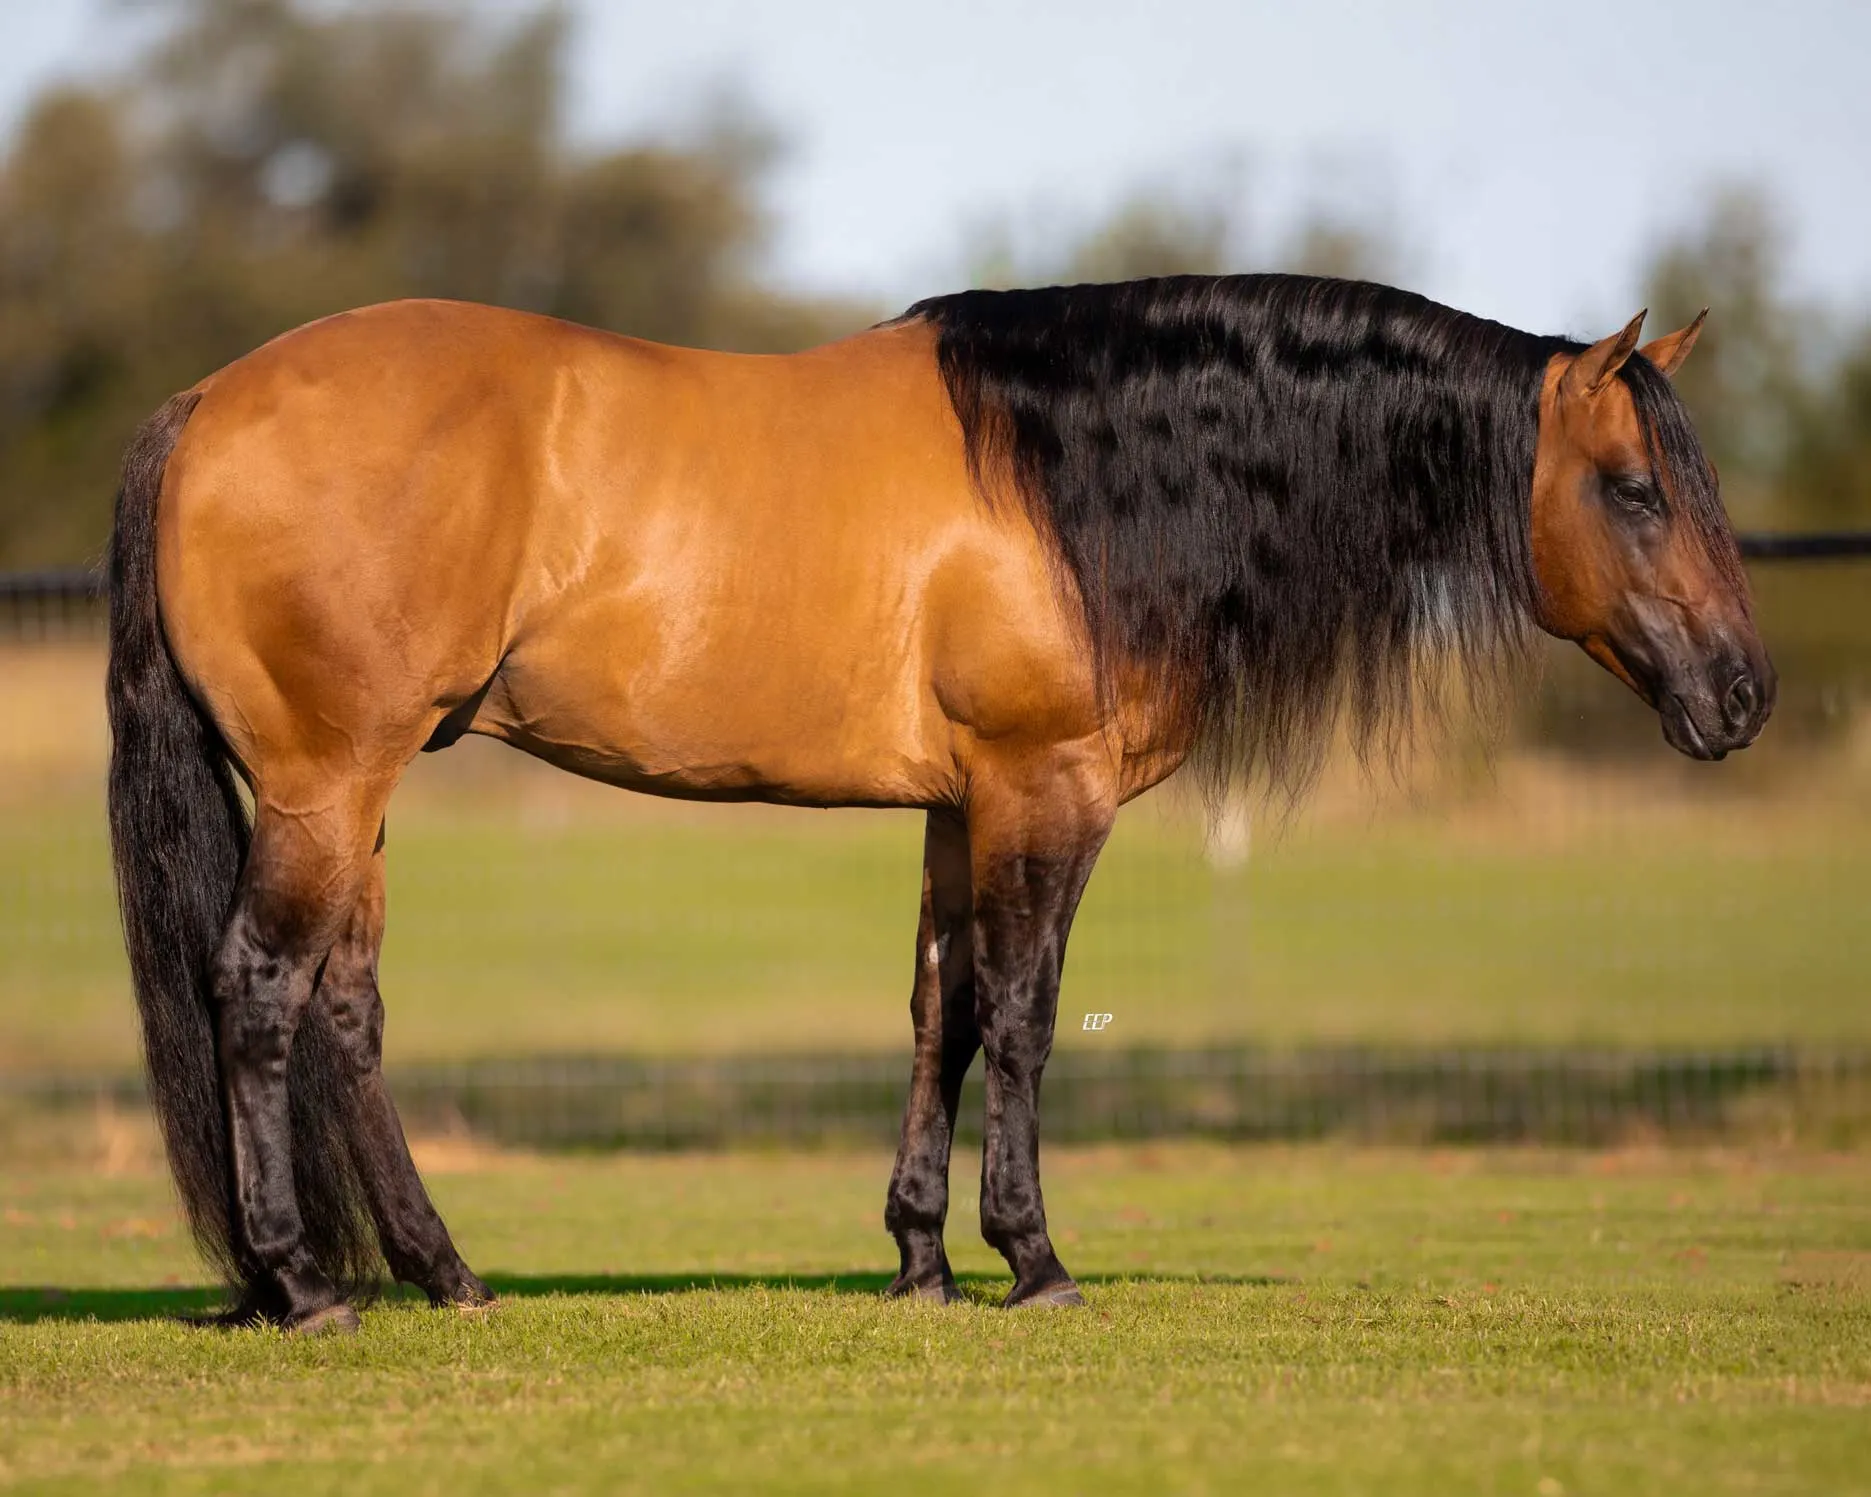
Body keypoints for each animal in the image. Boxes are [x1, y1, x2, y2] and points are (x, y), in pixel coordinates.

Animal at [105, 275, 1773, 1332]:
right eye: (1634, 489)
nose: (1742, 694)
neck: (1069, 482)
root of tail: (197, 406)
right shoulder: (1046, 787)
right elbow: (1025, 1015)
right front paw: (1030, 1259)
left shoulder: (961, 805)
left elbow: (942, 1012)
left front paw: (919, 1261)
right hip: (324, 784)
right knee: (259, 989)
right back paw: (301, 1286)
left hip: (359, 792)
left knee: (346, 1008)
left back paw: (443, 1275)